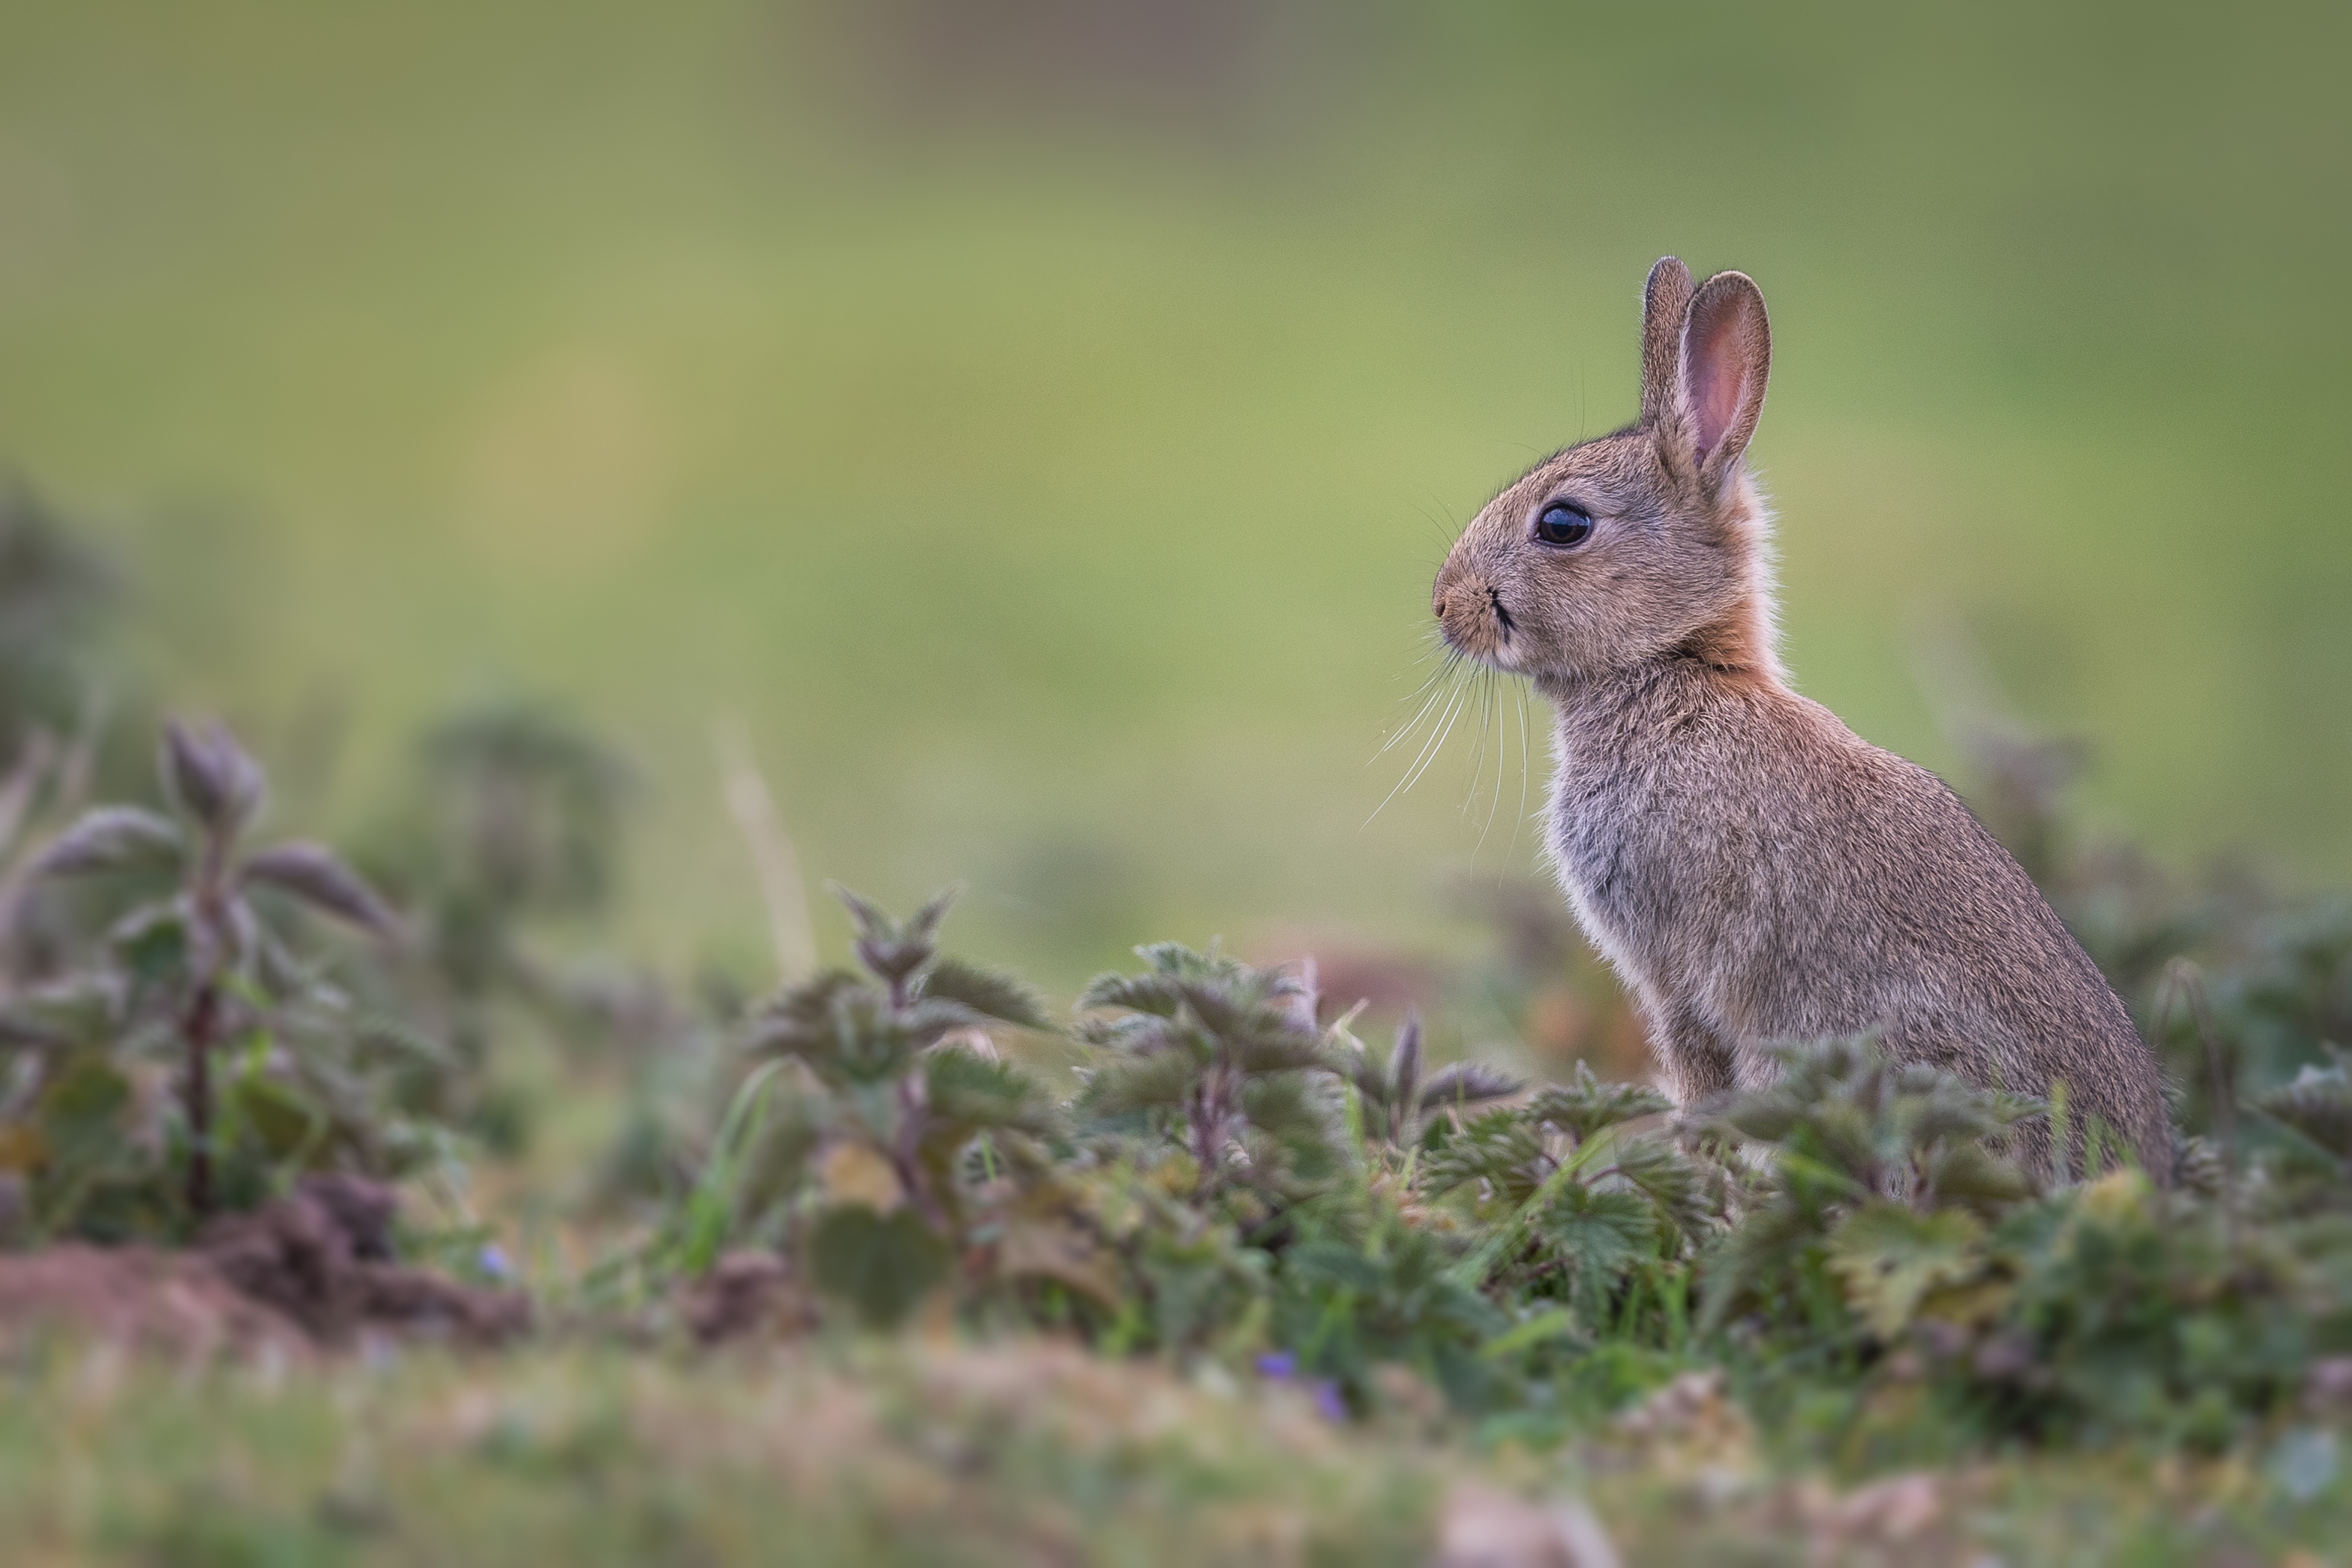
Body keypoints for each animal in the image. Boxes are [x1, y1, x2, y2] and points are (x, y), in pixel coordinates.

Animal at [1430, 256, 2171, 1180]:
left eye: (1563, 524)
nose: (1442, 604)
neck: (1676, 670)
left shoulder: (1674, 970)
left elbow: (1696, 1071)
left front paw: (1694, 1158)